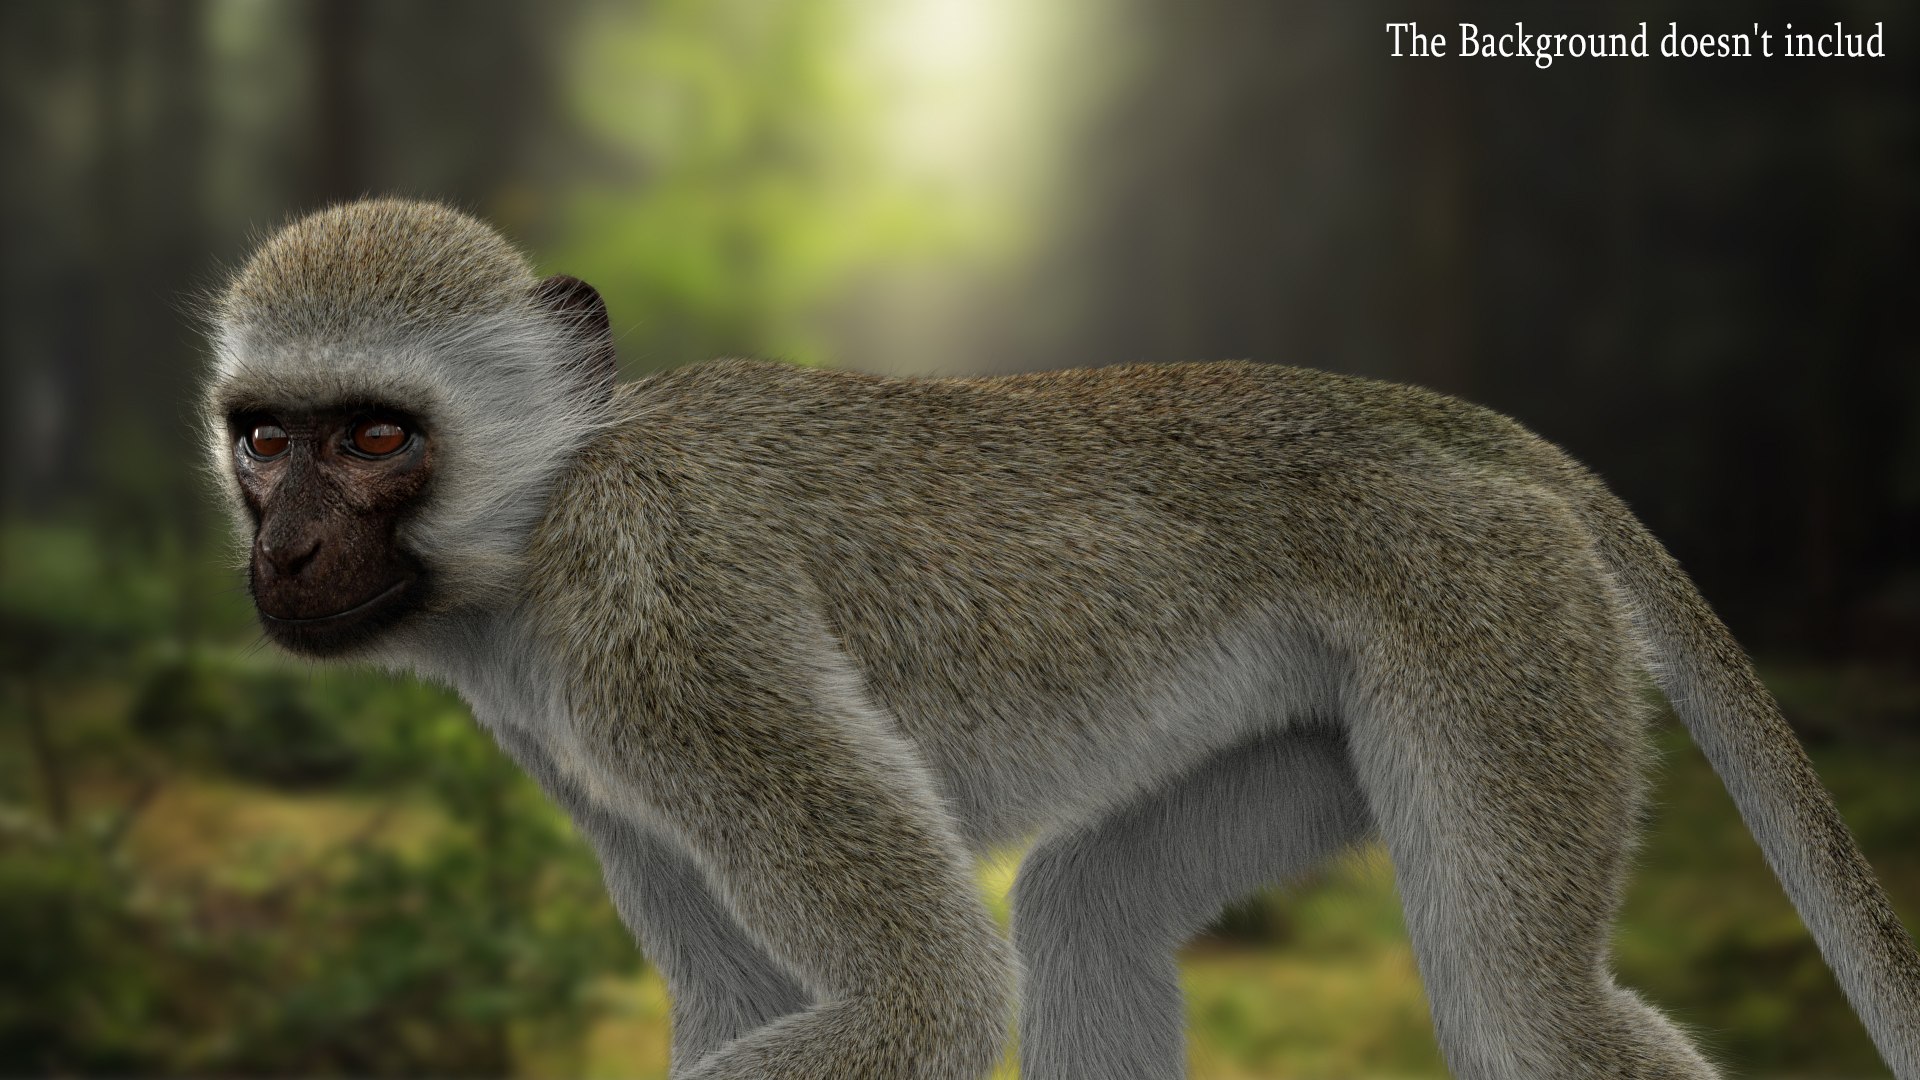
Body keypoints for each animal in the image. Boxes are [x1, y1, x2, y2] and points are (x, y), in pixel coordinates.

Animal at [202, 198, 1919, 1080]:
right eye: (264, 439)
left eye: (373, 437)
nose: (284, 553)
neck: (546, 515)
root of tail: (1425, 425)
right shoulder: (565, 731)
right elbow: (765, 1008)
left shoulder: (663, 627)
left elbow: (927, 1000)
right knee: (1092, 906)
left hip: (1493, 605)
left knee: (1531, 1015)